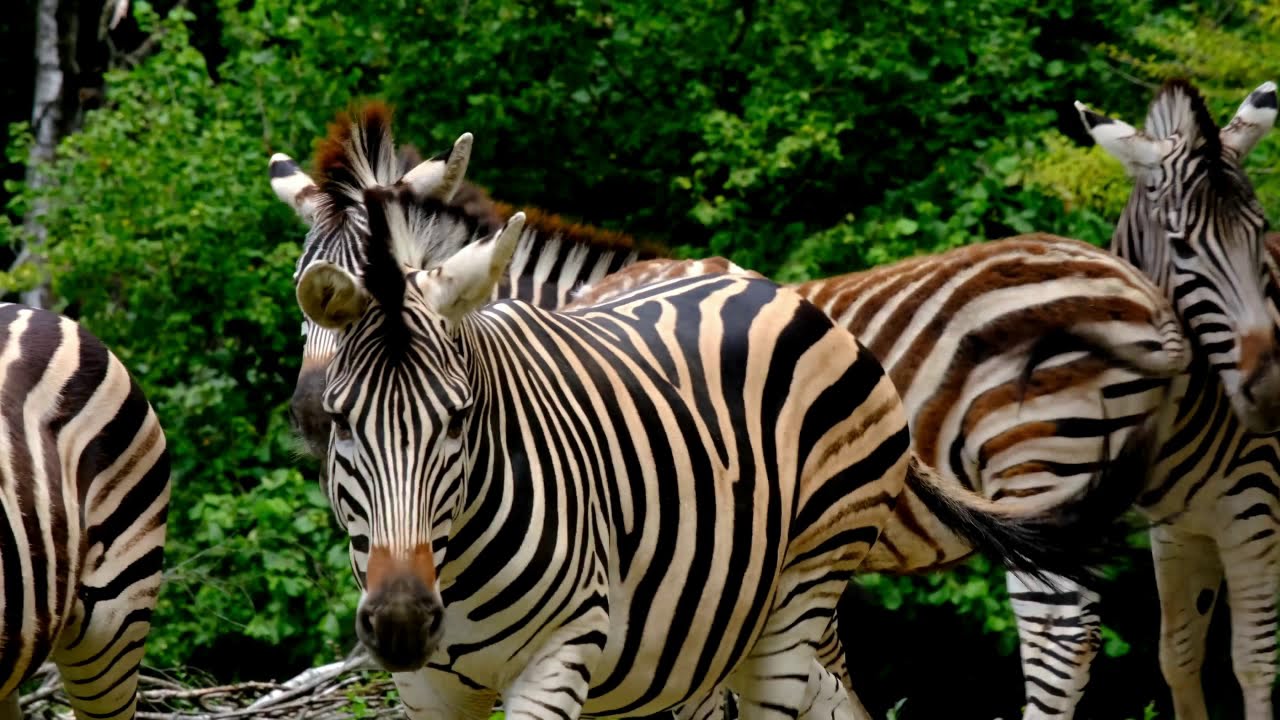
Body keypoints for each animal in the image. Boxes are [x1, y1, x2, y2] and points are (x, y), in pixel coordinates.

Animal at [267, 102, 1191, 717]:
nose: (311, 415)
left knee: (1063, 640)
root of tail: (1137, 288)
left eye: (363, 271)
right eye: (302, 279)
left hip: (1039, 459)